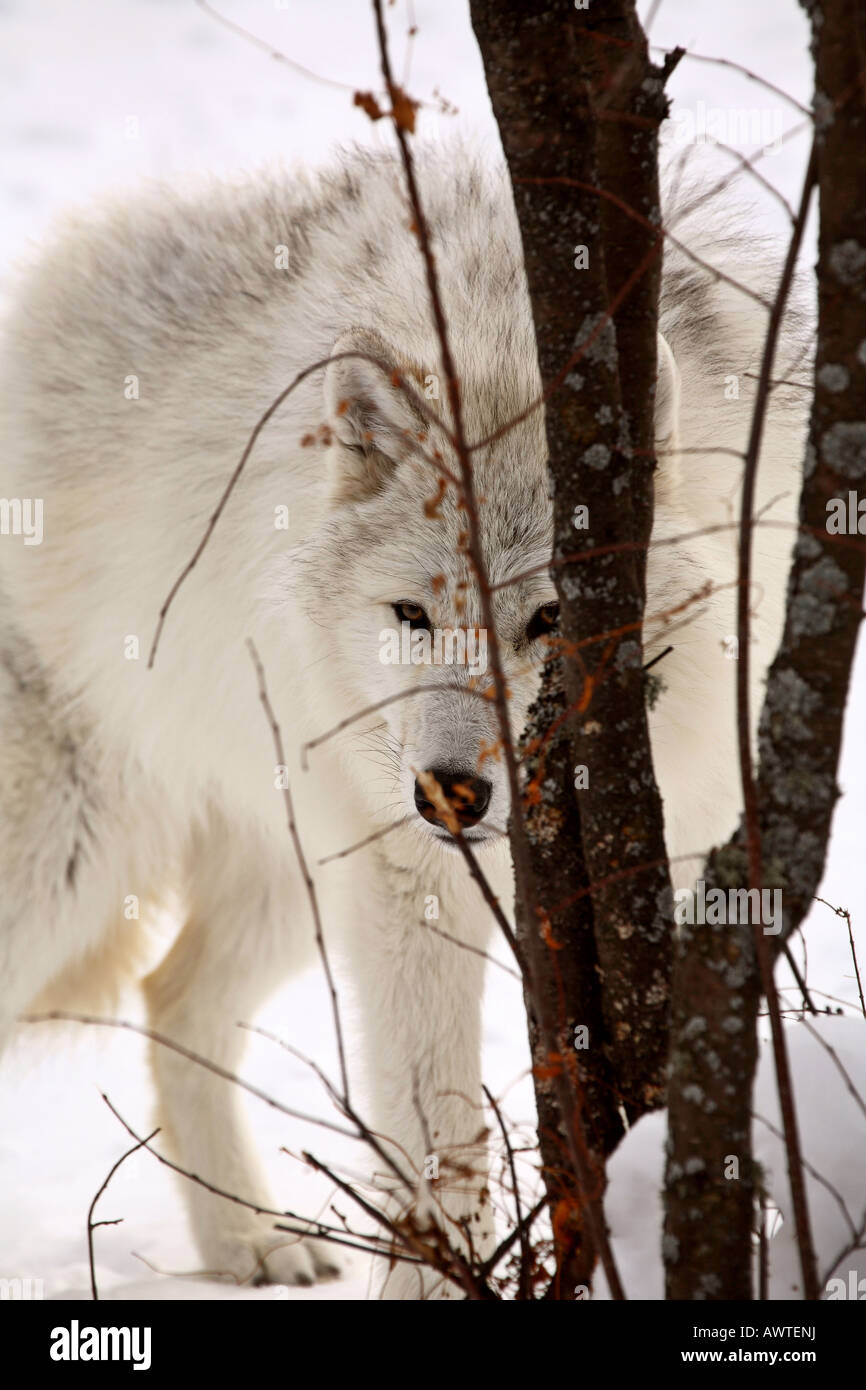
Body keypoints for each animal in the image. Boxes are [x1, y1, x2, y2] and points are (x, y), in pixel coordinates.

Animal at [0, 146, 807, 1298]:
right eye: (412, 616)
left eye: (549, 618)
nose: (448, 793)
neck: (500, 330)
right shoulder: (407, 883)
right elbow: (436, 1144)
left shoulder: (673, 857)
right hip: (77, 861)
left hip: (290, 869)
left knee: (173, 997)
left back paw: (247, 1243)